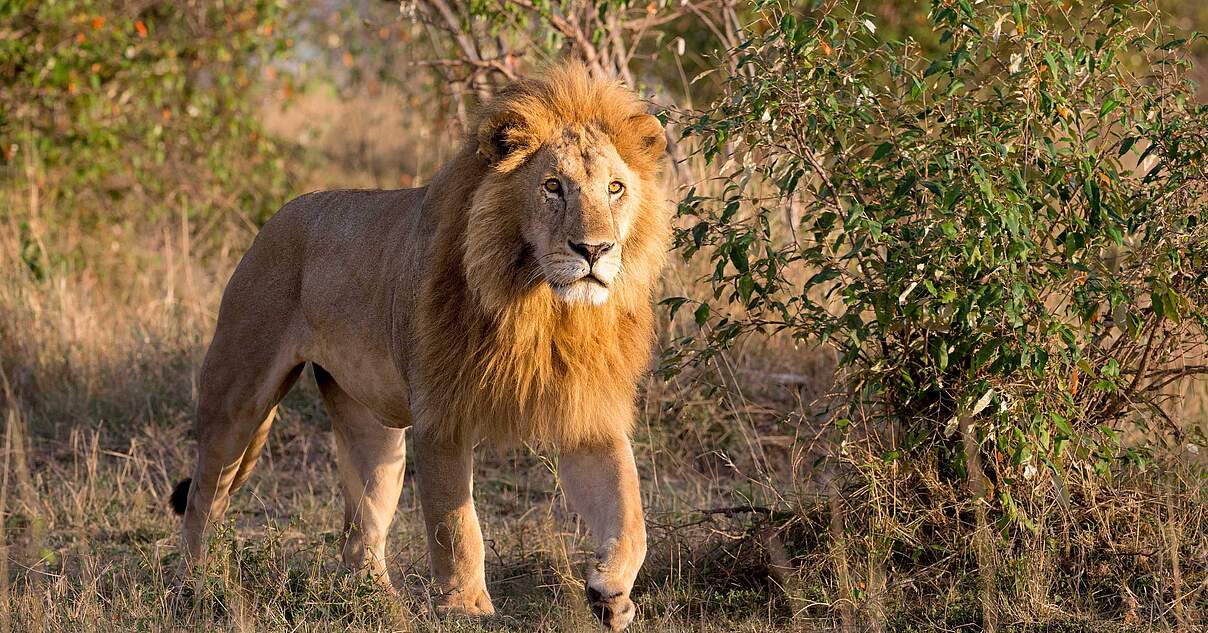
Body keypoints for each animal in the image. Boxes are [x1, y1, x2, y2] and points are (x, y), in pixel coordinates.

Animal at [168, 62, 669, 631]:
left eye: (615, 188)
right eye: (552, 187)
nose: (595, 249)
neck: (543, 308)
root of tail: (279, 215)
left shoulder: (588, 412)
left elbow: (630, 513)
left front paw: (611, 594)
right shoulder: (441, 415)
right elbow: (456, 524)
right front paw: (466, 607)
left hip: (371, 428)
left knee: (359, 530)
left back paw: (380, 604)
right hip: (238, 391)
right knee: (204, 496)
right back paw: (198, 585)